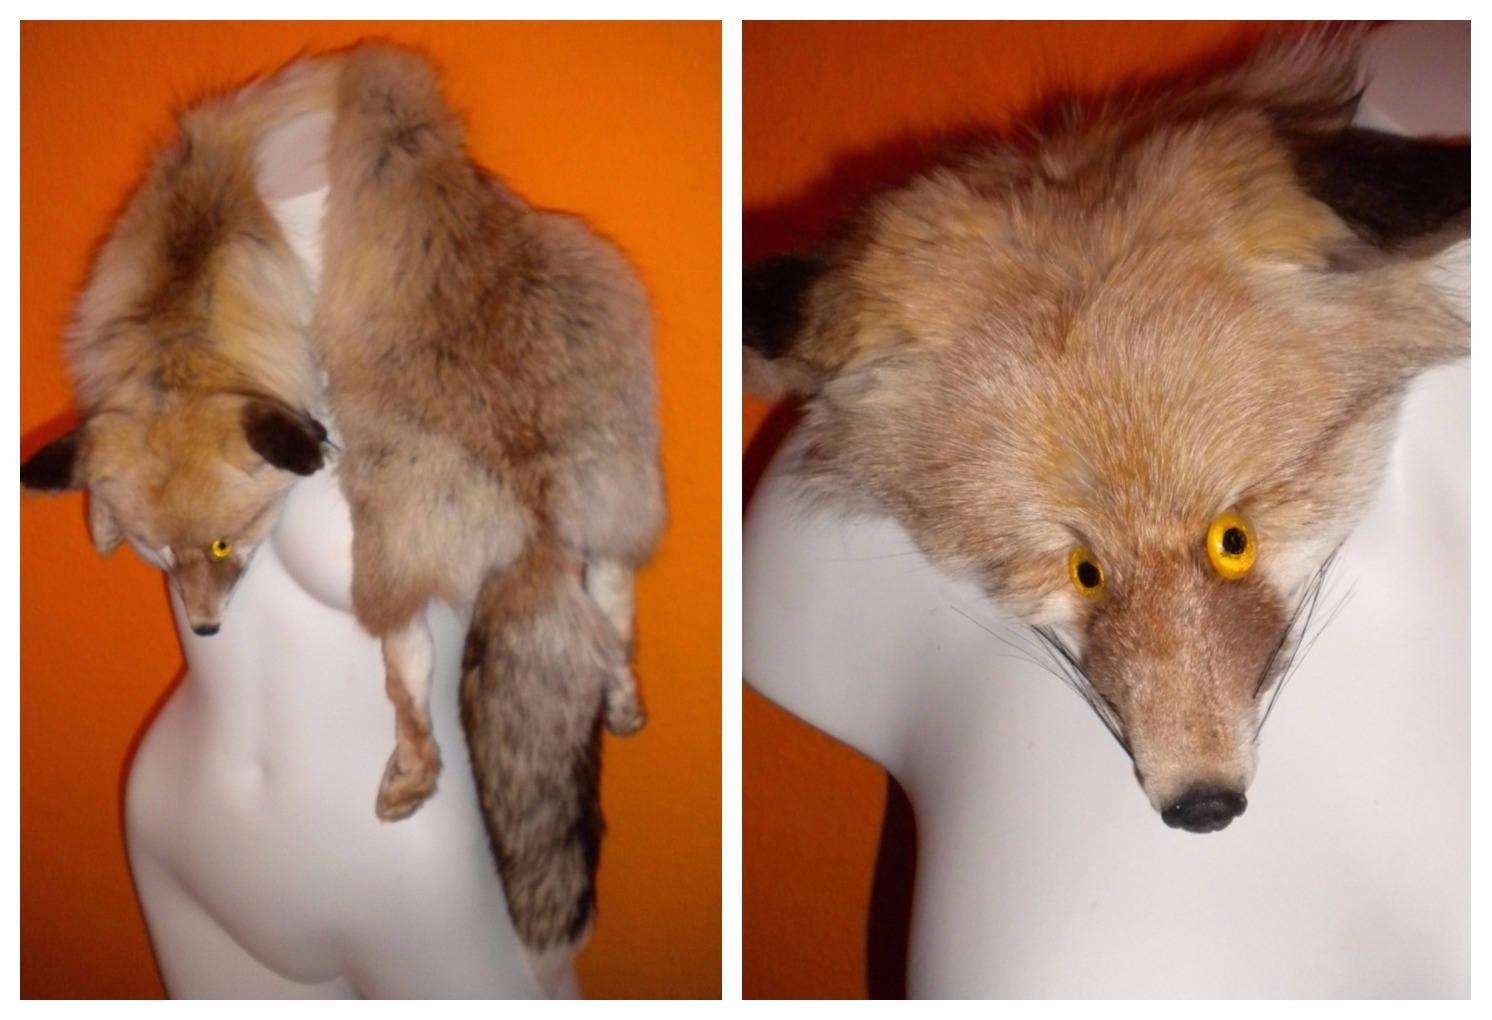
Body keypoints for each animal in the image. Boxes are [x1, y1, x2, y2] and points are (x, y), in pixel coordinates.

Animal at [22, 44, 665, 968]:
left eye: (227, 545)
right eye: (159, 553)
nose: (206, 631)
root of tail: (529, 506)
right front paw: (98, 520)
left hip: (386, 554)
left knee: (411, 688)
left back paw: (412, 774)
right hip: (612, 501)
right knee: (610, 616)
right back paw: (622, 702)